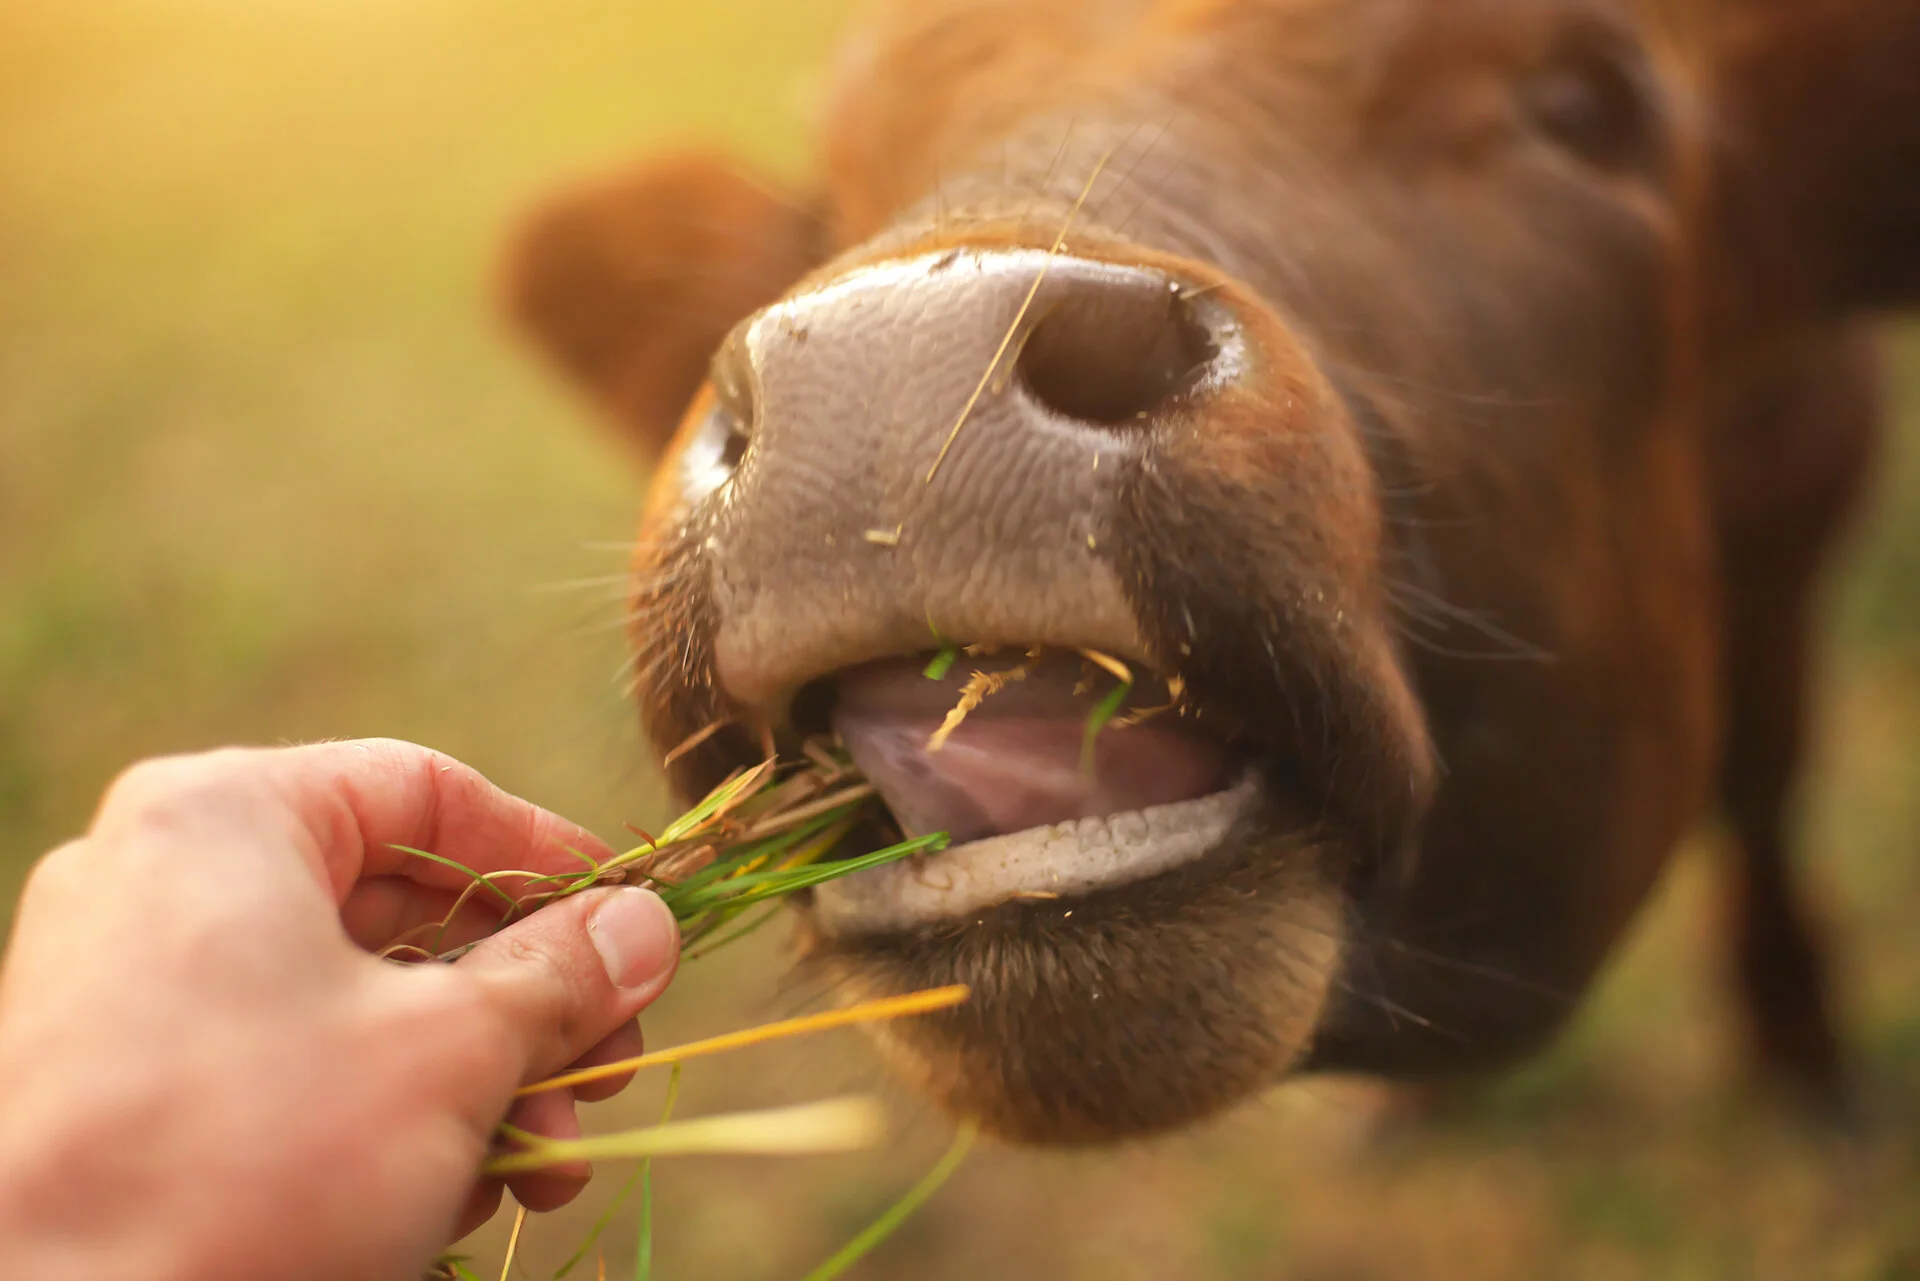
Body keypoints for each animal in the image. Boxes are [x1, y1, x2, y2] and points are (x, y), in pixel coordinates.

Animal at [500, 0, 1920, 1145]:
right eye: (832, 193)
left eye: (1587, 98)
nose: (895, 368)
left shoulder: (1809, 494)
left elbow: (1767, 768)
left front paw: (1803, 1052)